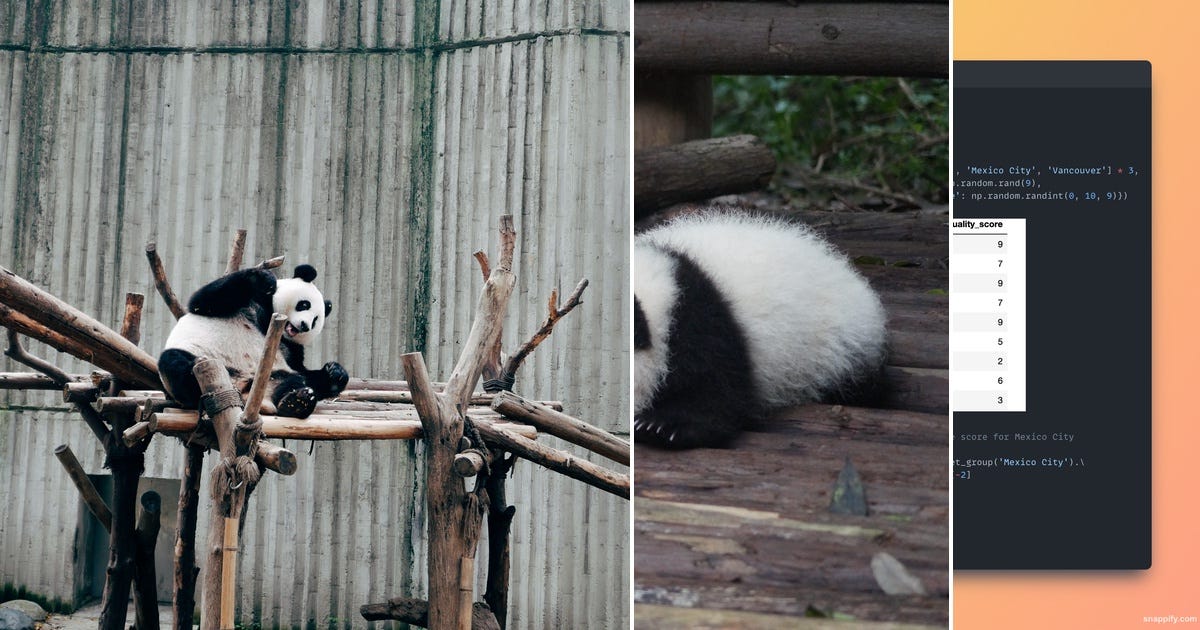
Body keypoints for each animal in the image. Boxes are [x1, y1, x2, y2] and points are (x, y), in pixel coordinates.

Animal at [158, 264, 349, 419]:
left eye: (316, 320)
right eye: (304, 304)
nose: (305, 326)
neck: (270, 318)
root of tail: (239, 391)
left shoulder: (291, 347)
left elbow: (303, 370)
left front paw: (336, 372)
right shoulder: (251, 301)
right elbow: (203, 301)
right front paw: (264, 278)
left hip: (269, 377)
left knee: (294, 381)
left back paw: (297, 402)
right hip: (205, 360)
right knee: (174, 361)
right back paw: (195, 382)